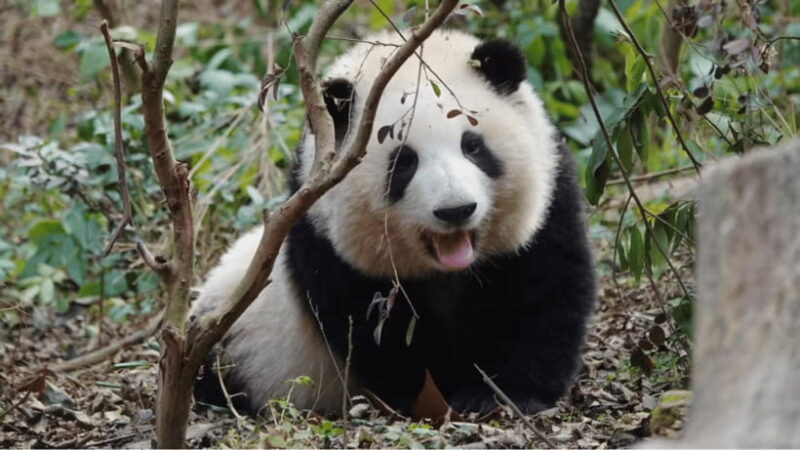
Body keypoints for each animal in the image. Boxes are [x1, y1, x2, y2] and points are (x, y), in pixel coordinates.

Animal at [191, 29, 595, 417]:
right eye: (404, 161)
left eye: (473, 146)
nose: (455, 210)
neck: (447, 272)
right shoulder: (326, 239)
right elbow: (377, 333)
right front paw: (436, 393)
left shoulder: (550, 202)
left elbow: (544, 296)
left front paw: (502, 395)